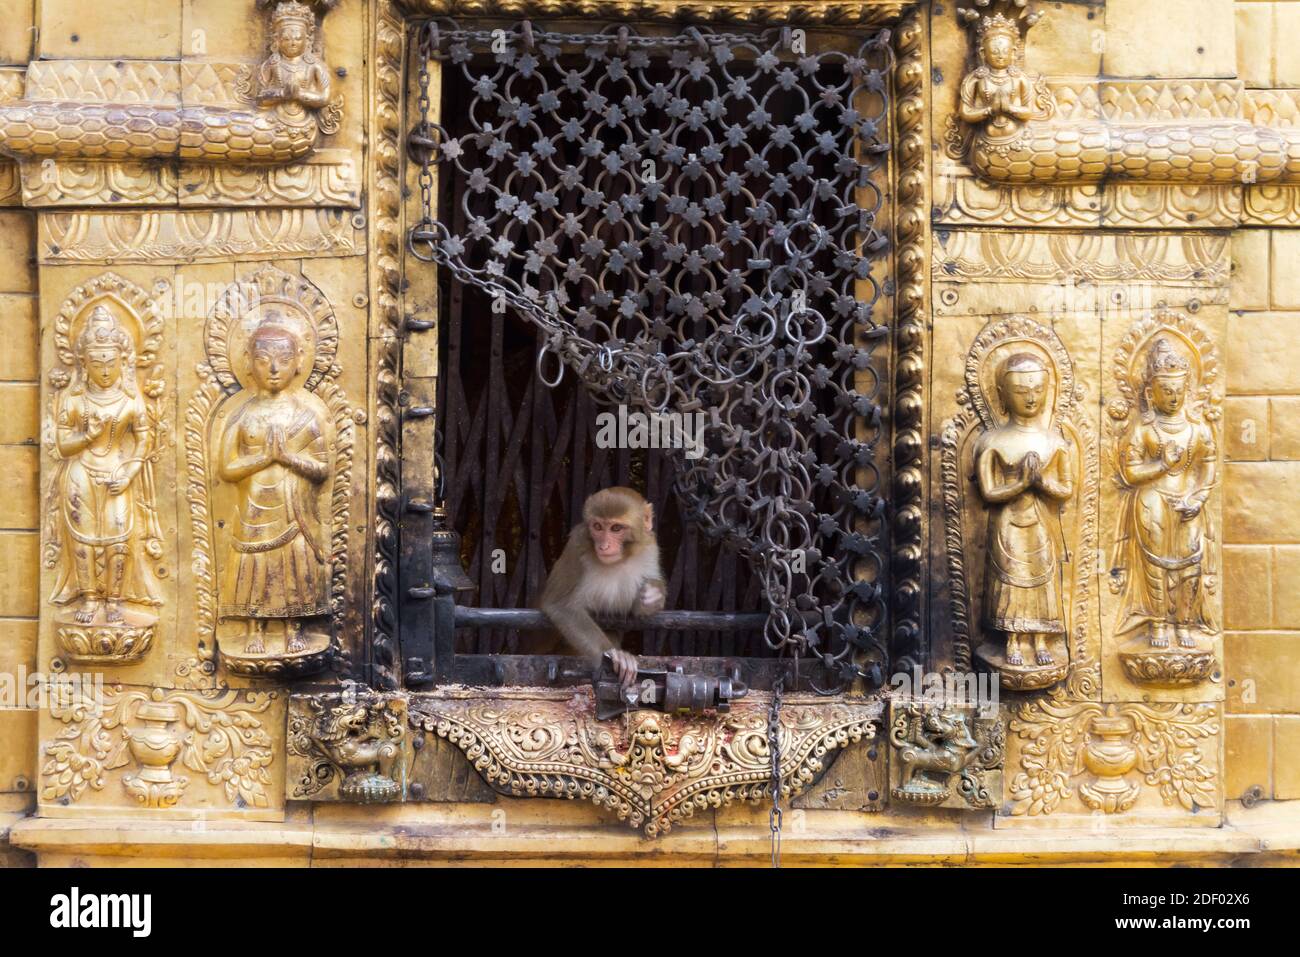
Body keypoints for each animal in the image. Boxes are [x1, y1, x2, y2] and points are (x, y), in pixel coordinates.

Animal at [539, 487, 666, 688]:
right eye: (597, 527)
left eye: (616, 528)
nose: (604, 546)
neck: (619, 560)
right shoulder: (577, 547)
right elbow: (560, 606)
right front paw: (615, 655)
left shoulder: (650, 549)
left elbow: (637, 611)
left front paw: (653, 595)